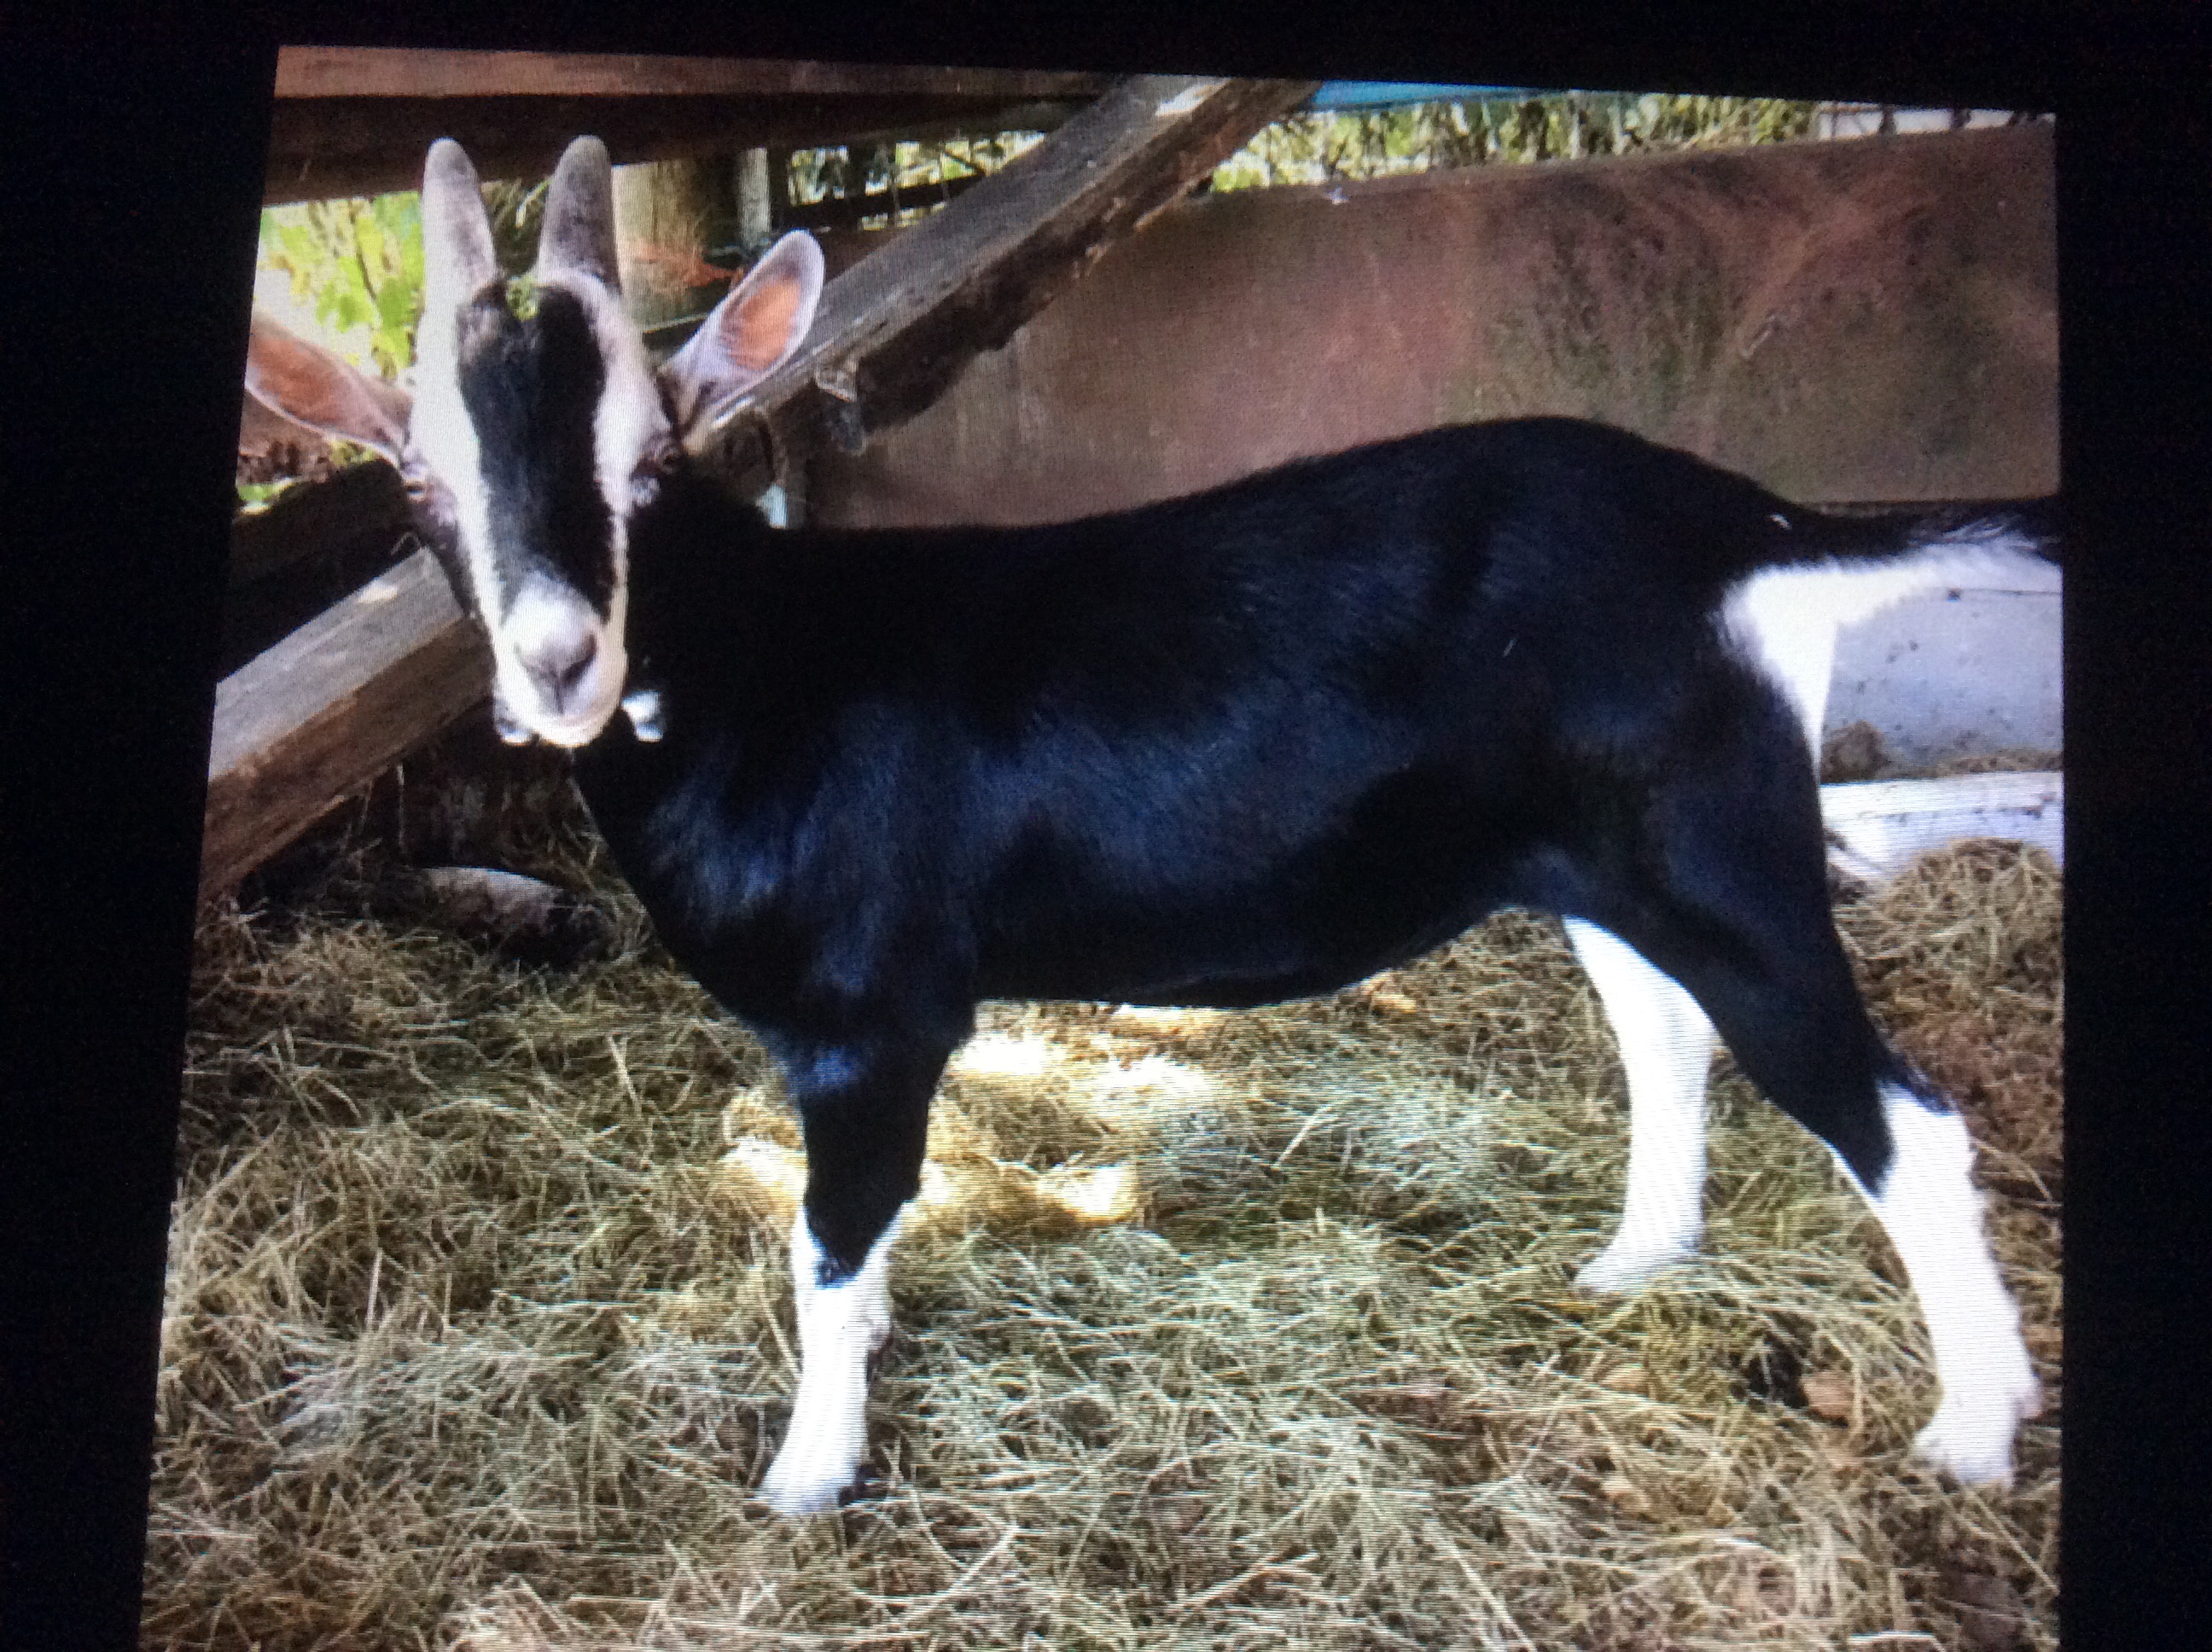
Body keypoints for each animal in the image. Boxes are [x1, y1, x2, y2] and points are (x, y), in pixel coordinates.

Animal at [242, 135, 2049, 1517]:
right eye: (420, 489)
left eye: (647, 465)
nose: (558, 659)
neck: (760, 669)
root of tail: (1752, 526)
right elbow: (858, 1244)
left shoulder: (873, 1019)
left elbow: (829, 1244)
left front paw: (810, 1472)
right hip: (1606, 862)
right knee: (1667, 1037)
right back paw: (1639, 1266)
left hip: (1722, 852)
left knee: (1903, 1118)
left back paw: (1968, 1434)